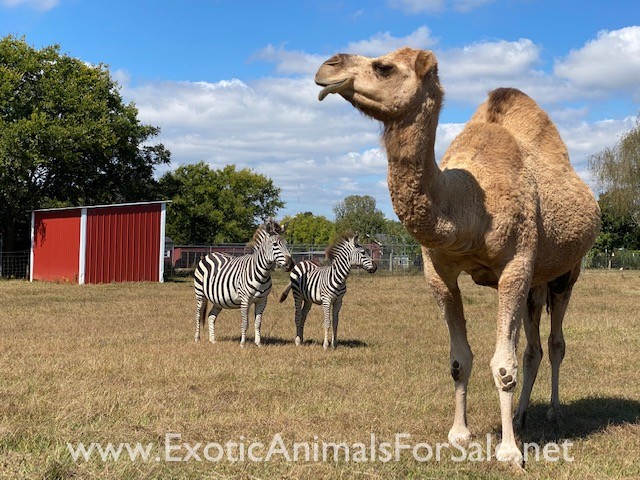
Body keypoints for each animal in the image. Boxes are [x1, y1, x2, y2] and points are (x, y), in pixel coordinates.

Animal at [315, 47, 600, 466]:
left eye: (383, 67)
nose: (326, 68)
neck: (471, 205)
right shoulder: (440, 272)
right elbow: (459, 359)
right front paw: (460, 434)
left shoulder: (515, 264)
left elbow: (503, 367)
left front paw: (509, 452)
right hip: (535, 282)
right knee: (532, 348)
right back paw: (522, 415)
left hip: (567, 272)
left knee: (555, 343)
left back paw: (552, 412)